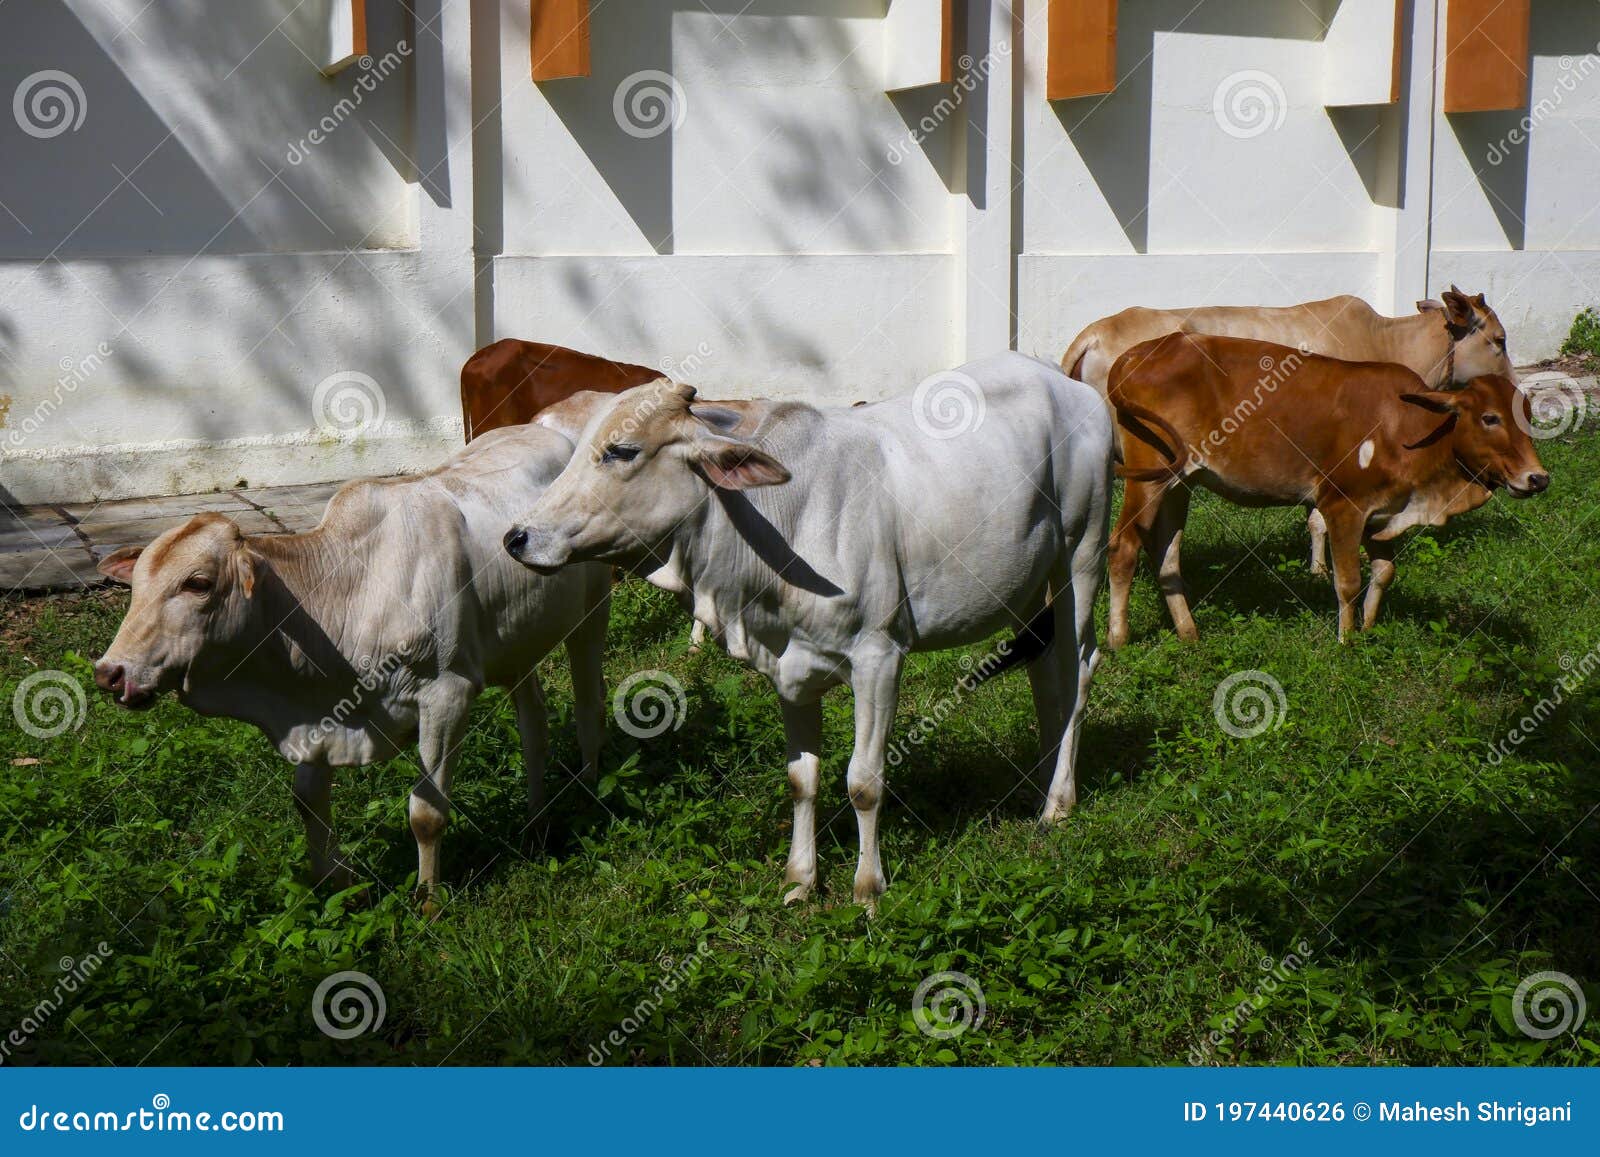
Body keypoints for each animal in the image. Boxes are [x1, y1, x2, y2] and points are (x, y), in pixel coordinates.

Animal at [91, 423, 612, 912]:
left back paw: (589, 796)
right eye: (136, 586)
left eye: (197, 583)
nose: (110, 671)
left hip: (592, 613)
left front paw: (428, 901)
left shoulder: (447, 694)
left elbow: (426, 814)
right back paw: (536, 822)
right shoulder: (318, 718)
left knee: (589, 703)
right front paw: (341, 884)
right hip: (518, 645)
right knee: (534, 722)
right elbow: (307, 802)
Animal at [501, 352, 1114, 910]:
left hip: (1081, 558)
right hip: (1030, 586)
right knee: (1046, 674)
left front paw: (867, 889)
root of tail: (1062, 379)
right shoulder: (787, 668)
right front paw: (800, 880)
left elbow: (863, 781)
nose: (517, 538)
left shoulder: (879, 659)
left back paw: (1059, 802)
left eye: (621, 451)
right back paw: (1039, 782)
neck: (782, 518)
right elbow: (803, 778)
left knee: (1080, 671)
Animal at [1062, 288, 1515, 573]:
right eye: (1499, 339)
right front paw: (1321, 570)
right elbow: (1320, 520)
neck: (1385, 342)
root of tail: (1096, 333)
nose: (1516, 394)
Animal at [1105, 333, 1548, 646]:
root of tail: (1146, 350)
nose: (1537, 478)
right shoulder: (1342, 506)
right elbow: (1347, 581)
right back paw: (1118, 638)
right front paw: (1346, 640)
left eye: (1526, 416)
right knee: (1123, 547)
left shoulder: (1381, 514)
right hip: (1148, 475)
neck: (1408, 429)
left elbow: (1384, 572)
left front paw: (1367, 629)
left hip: (1179, 482)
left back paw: (1189, 633)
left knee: (1166, 555)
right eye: (1490, 418)